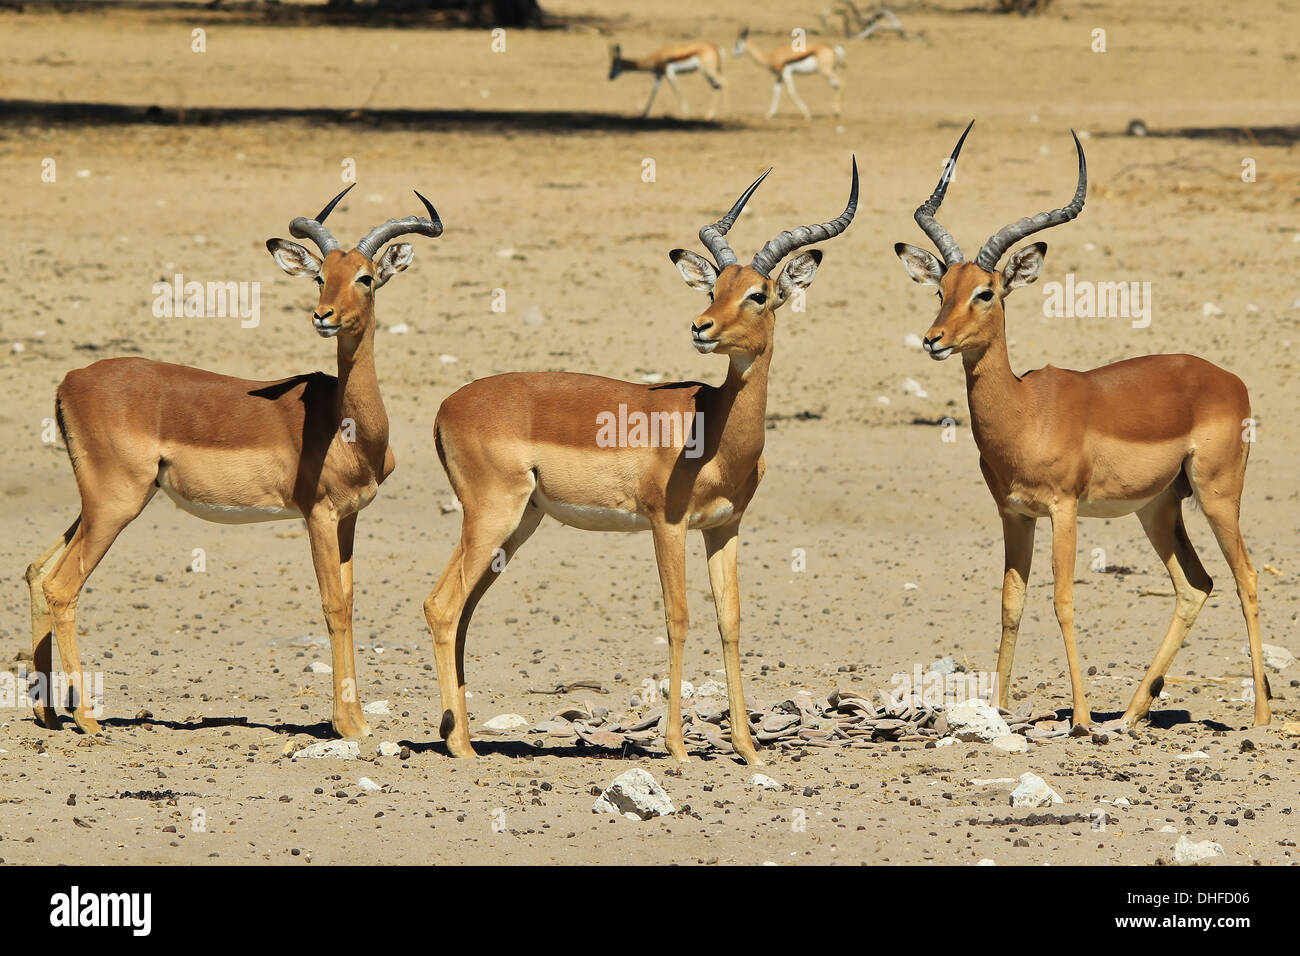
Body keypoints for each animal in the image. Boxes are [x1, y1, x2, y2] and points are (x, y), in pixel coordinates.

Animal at [24, 186, 443, 739]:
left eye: (365, 276)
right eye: (320, 275)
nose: (324, 315)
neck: (347, 425)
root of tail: (69, 380)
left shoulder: (348, 518)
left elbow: (350, 603)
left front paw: (355, 719)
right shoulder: (317, 515)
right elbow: (333, 606)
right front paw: (348, 725)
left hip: (100, 504)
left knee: (36, 570)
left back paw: (46, 712)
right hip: (115, 504)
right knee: (61, 586)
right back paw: (88, 718)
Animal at [424, 159, 859, 766]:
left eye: (759, 293)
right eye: (715, 287)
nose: (702, 327)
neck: (712, 429)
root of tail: (446, 406)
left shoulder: (724, 527)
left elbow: (730, 620)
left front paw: (748, 748)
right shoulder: (666, 524)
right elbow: (678, 618)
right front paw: (676, 744)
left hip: (520, 523)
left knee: (462, 611)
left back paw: (457, 735)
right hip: (493, 516)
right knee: (442, 606)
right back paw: (463, 747)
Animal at [894, 122, 1270, 731]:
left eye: (986, 292)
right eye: (940, 289)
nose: (934, 339)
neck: (1025, 412)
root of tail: (1227, 379)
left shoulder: (1064, 510)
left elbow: (1063, 601)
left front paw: (1081, 718)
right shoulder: (1015, 514)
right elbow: (1012, 602)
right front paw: (998, 709)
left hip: (1217, 496)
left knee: (1247, 577)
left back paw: (1259, 716)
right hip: (1158, 509)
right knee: (1196, 585)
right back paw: (1131, 715)